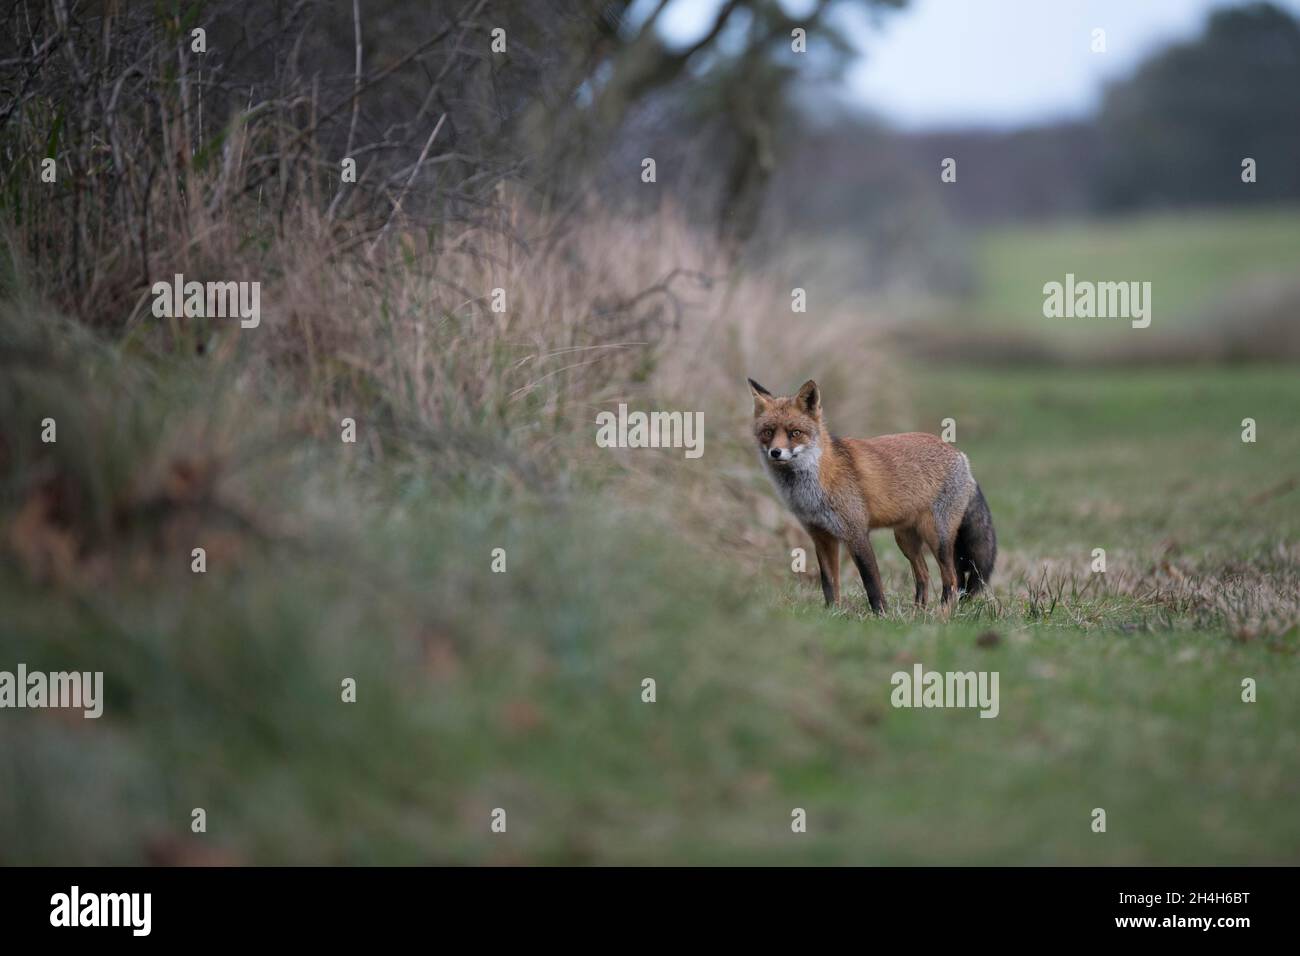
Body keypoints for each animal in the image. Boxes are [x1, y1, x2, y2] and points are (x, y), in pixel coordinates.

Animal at [748, 378, 996, 614]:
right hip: (905, 539)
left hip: (937, 536)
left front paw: (881, 615)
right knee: (924, 575)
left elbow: (872, 582)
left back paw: (941, 615)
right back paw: (918, 614)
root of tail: (962, 457)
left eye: (795, 433)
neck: (815, 485)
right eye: (768, 432)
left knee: (952, 579)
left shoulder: (856, 532)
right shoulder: (822, 536)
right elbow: (829, 584)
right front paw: (832, 614)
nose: (775, 452)